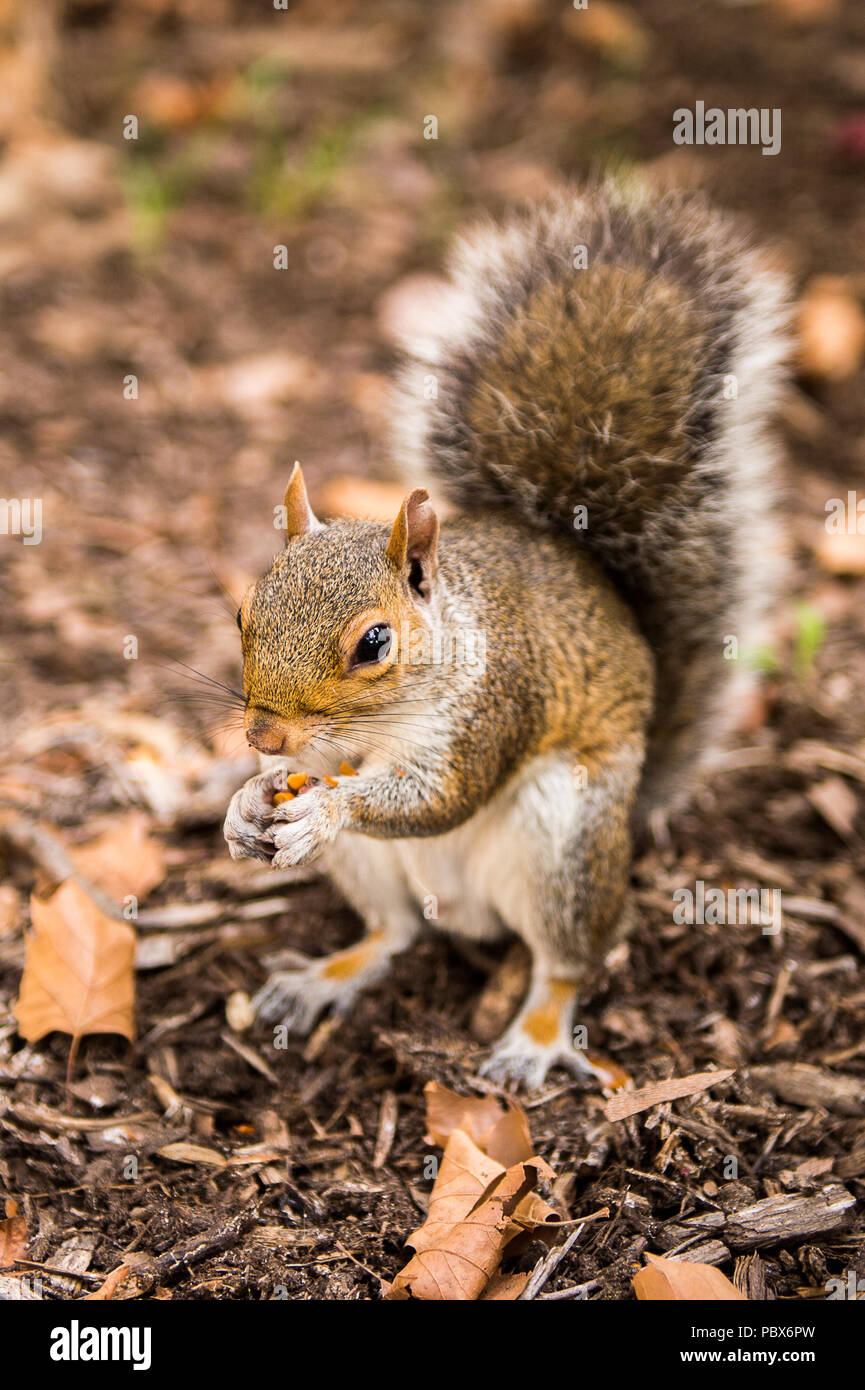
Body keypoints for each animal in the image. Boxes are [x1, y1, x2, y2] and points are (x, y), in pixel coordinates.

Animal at [224, 179, 789, 1088]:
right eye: (243, 612)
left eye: (373, 644)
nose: (262, 734)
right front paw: (244, 801)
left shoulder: (496, 705)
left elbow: (441, 796)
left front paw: (332, 804)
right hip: (377, 873)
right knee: (394, 932)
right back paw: (325, 978)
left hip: (564, 840)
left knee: (565, 960)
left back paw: (533, 1039)